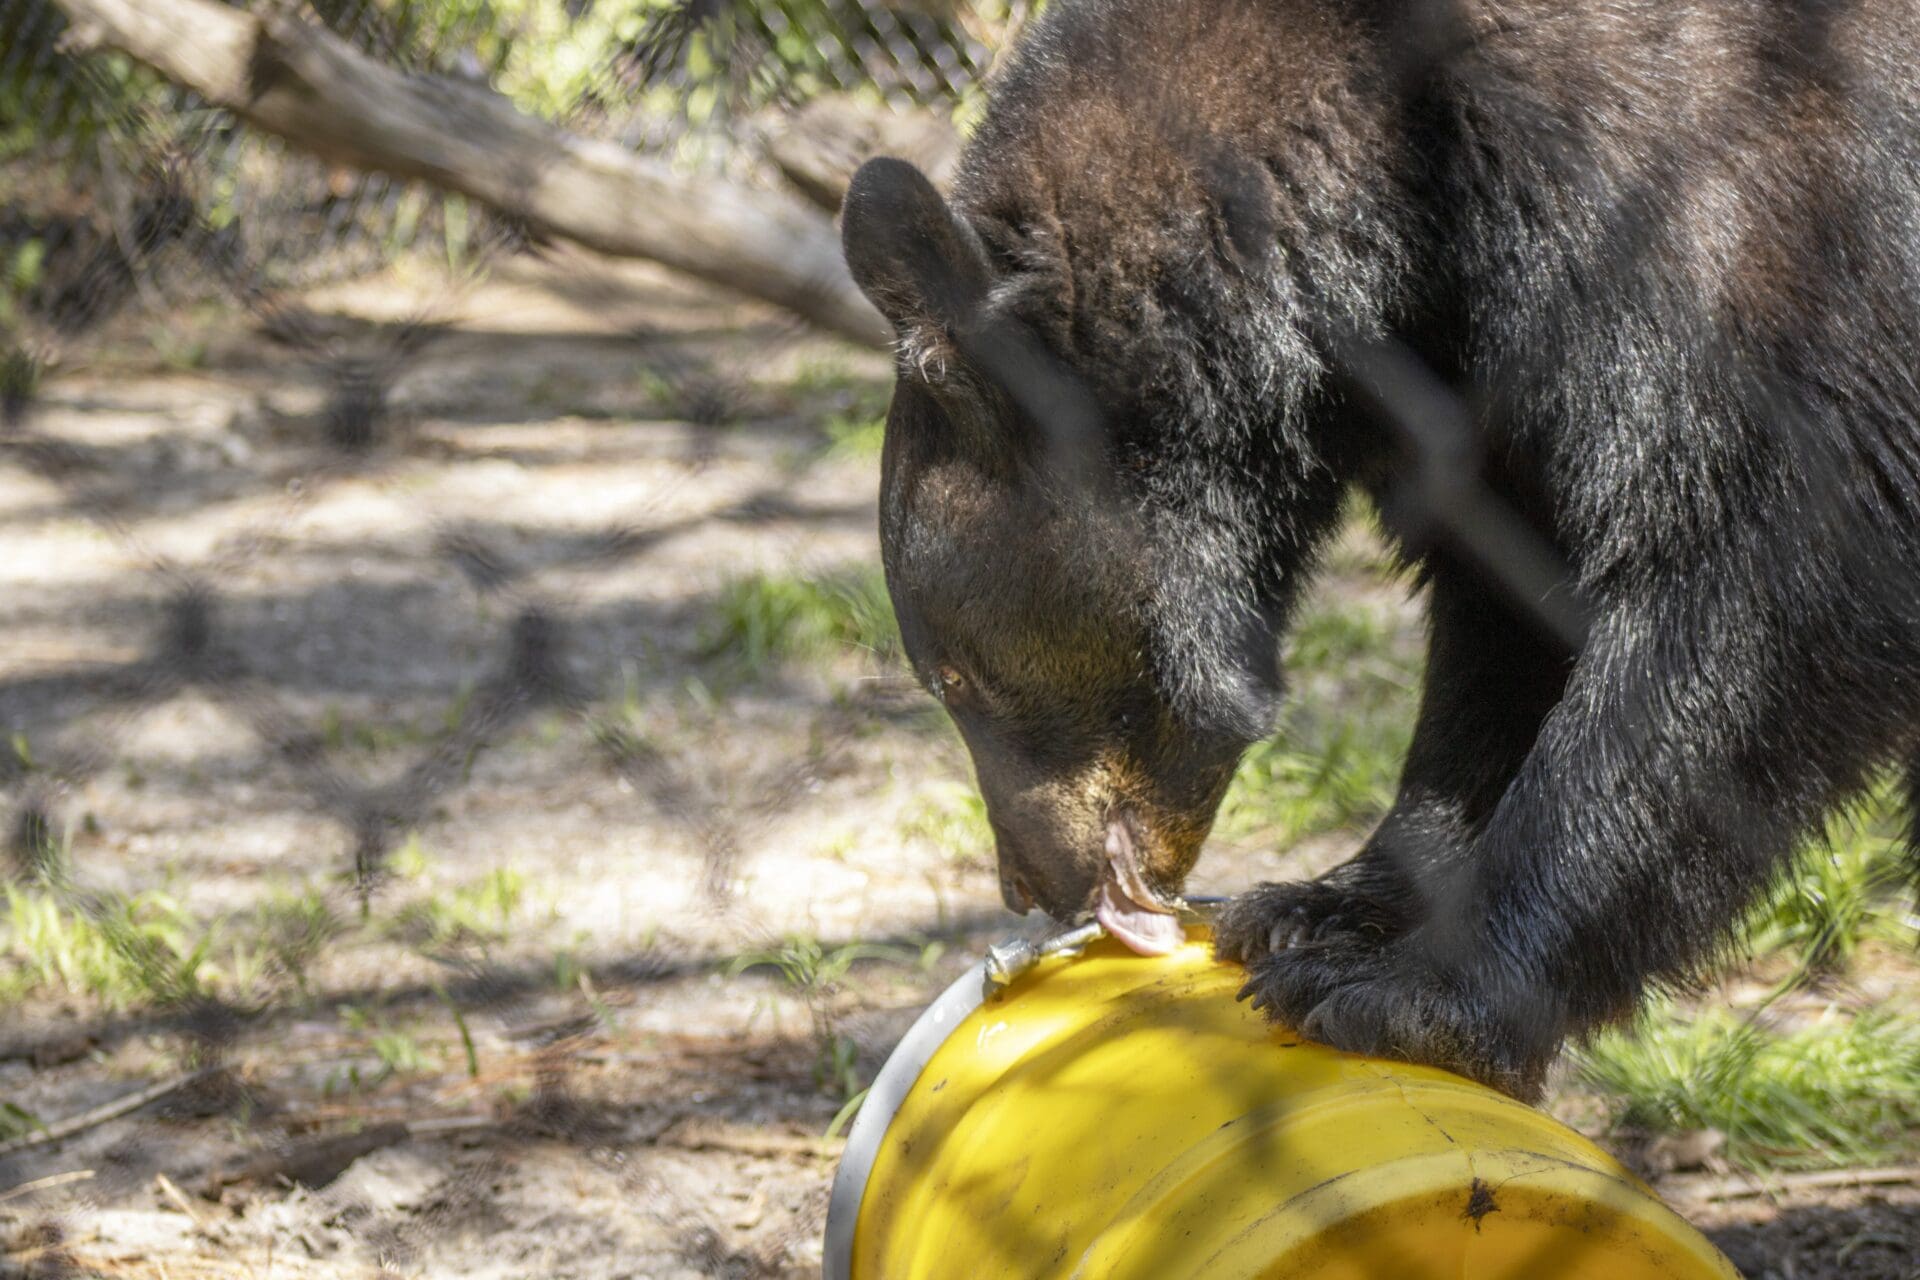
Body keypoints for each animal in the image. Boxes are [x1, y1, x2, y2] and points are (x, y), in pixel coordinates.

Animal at [839, 0, 1920, 1098]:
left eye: (956, 679)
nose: (1028, 883)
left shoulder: (1729, 229)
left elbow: (1757, 584)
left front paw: (1417, 993)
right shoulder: (1491, 382)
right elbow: (1507, 621)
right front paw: (1328, 905)